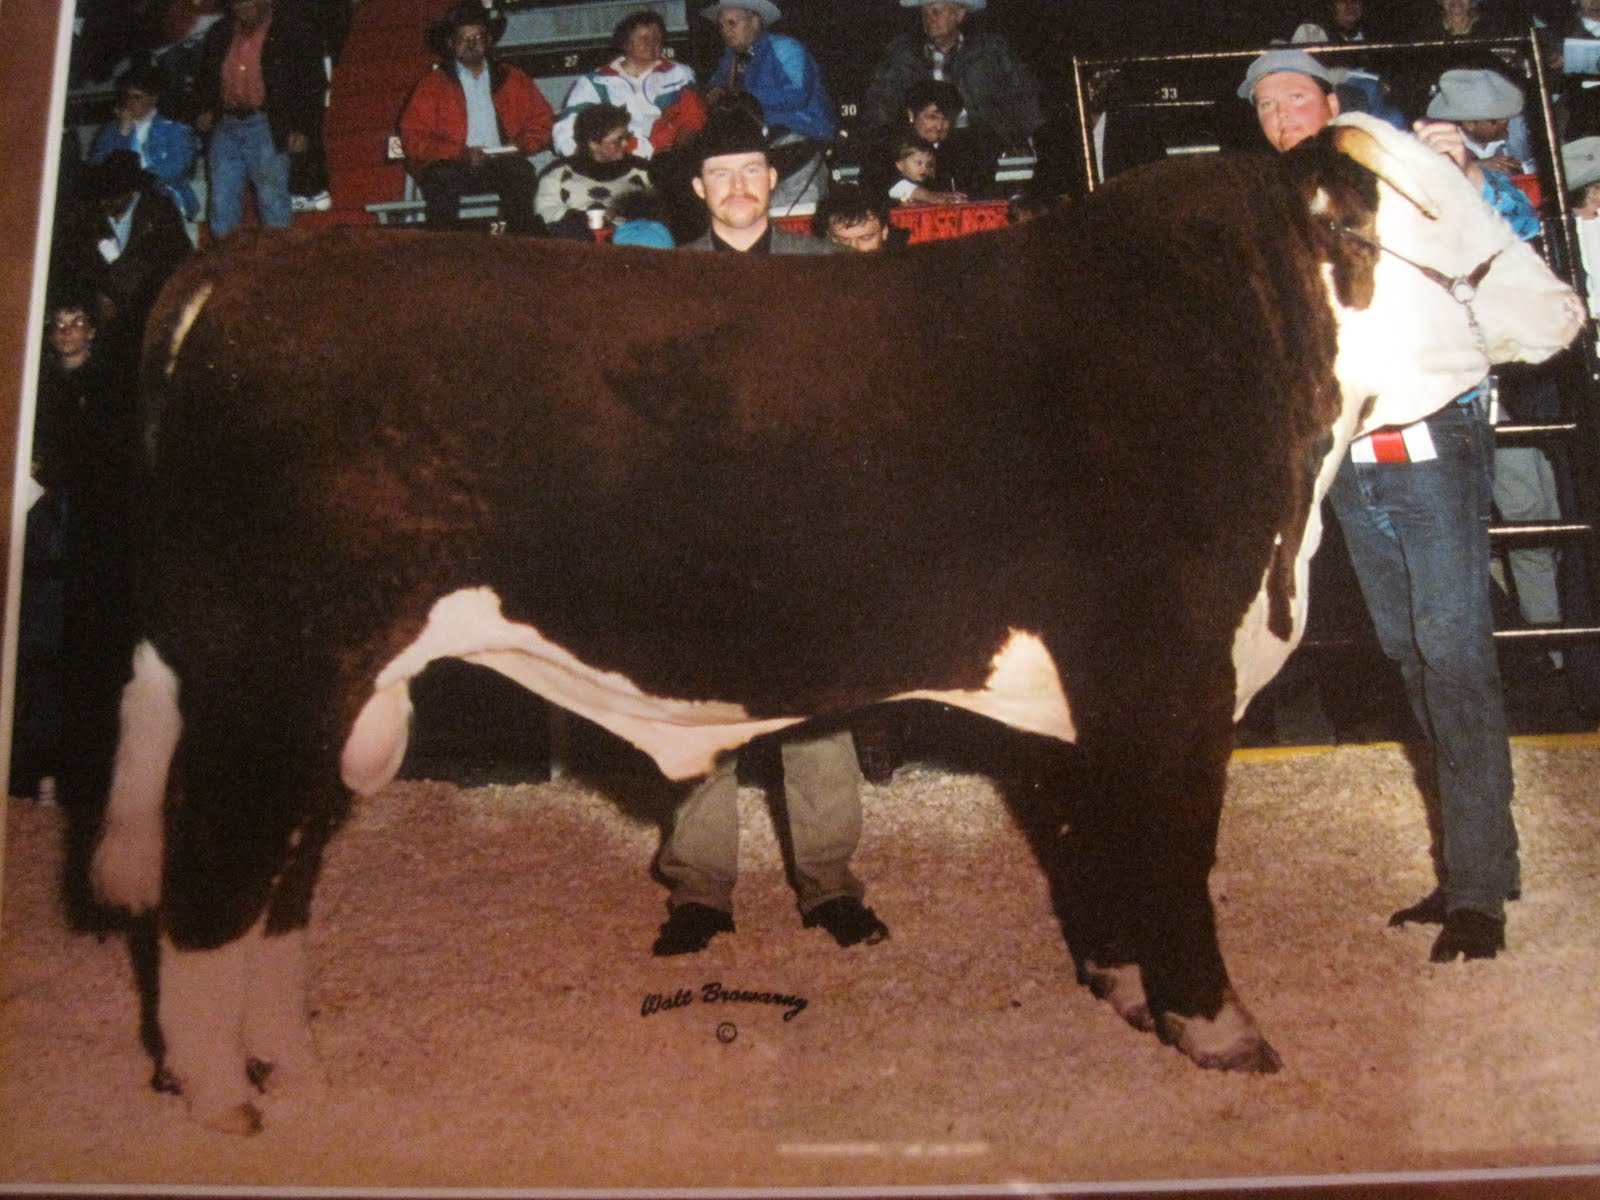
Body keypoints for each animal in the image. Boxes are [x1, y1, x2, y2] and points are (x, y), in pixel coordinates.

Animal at [88, 112, 1584, 1133]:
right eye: (1443, 205)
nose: (1567, 296)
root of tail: (238, 270)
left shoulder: (1078, 692)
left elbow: (1097, 847)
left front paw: (1115, 989)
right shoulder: (1164, 669)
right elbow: (1172, 853)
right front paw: (1219, 1032)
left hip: (344, 697)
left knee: (280, 877)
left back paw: (293, 1065)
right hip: (273, 674)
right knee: (216, 874)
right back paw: (225, 1098)